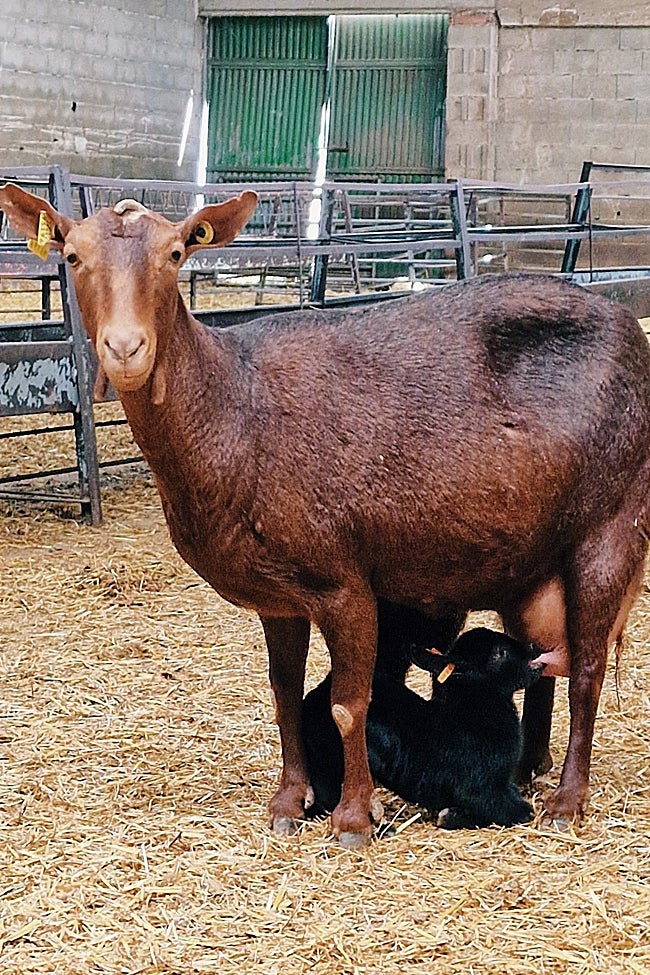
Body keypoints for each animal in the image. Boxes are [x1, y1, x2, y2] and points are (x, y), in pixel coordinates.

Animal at [302, 627, 542, 829]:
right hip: (331, 764)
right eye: (499, 653)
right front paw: (449, 817)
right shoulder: (483, 788)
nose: (533, 648)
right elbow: (521, 812)